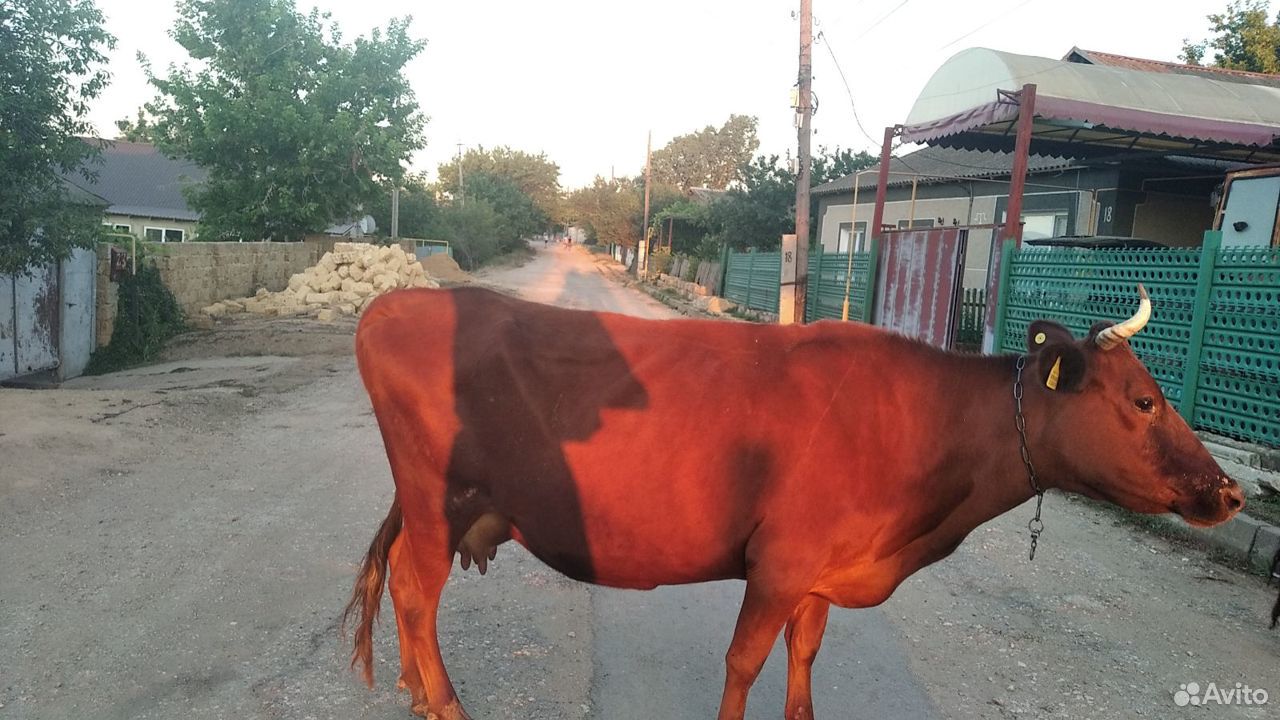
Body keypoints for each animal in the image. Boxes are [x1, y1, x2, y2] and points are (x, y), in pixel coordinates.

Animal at [343, 285, 1244, 720]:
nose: (1230, 490)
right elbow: (744, 663)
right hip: (436, 500)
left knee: (403, 584)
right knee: (416, 594)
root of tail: (400, 301)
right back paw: (445, 705)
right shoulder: (777, 564)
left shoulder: (820, 573)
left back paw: (418, 692)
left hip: (432, 507)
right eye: (1143, 401)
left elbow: (803, 662)